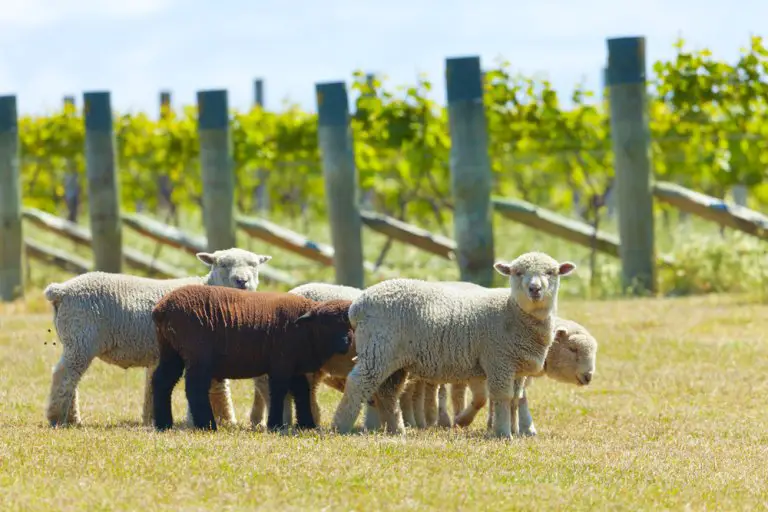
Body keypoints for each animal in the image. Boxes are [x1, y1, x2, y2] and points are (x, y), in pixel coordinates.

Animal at [42, 248, 272, 427]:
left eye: (254, 265)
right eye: (223, 264)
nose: (242, 281)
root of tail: (62, 290)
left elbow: (217, 386)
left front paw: (226, 421)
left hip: (73, 340)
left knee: (72, 378)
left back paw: (72, 419)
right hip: (81, 337)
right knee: (64, 374)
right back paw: (57, 418)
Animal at [150, 284, 353, 431]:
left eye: (349, 324)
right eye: (325, 325)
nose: (346, 343)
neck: (305, 330)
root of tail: (161, 309)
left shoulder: (294, 365)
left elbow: (301, 391)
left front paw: (307, 424)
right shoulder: (281, 362)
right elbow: (278, 391)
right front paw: (275, 425)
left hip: (171, 351)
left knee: (162, 381)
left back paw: (163, 424)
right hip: (198, 354)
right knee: (195, 387)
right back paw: (207, 426)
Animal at [331, 251, 576, 438]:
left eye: (551, 272)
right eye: (518, 273)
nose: (535, 289)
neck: (513, 313)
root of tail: (358, 305)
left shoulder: (516, 367)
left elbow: (515, 399)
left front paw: (514, 430)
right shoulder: (499, 360)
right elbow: (502, 397)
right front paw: (503, 433)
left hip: (393, 358)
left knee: (388, 391)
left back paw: (397, 430)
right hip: (378, 349)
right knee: (358, 383)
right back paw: (340, 425)